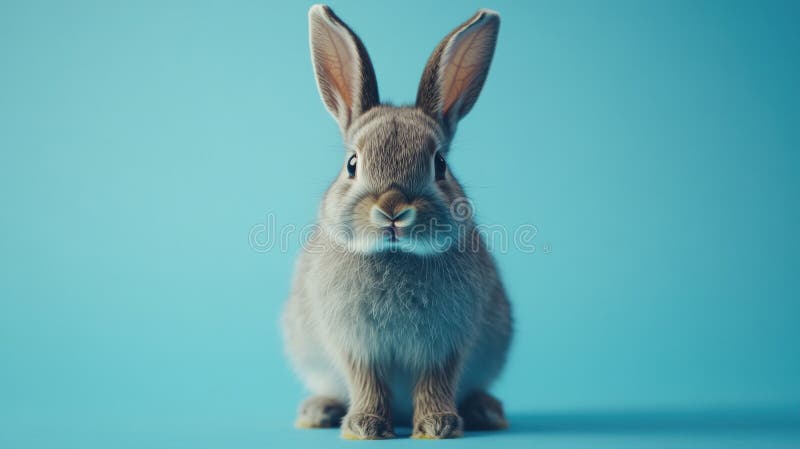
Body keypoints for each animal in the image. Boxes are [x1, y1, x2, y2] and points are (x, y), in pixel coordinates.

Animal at [282, 4, 512, 440]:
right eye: (352, 164)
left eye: (440, 165)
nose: (392, 208)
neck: (396, 255)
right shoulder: (356, 346)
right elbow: (367, 382)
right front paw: (366, 427)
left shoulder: (446, 346)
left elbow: (436, 382)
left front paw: (439, 426)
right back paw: (318, 411)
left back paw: (485, 411)